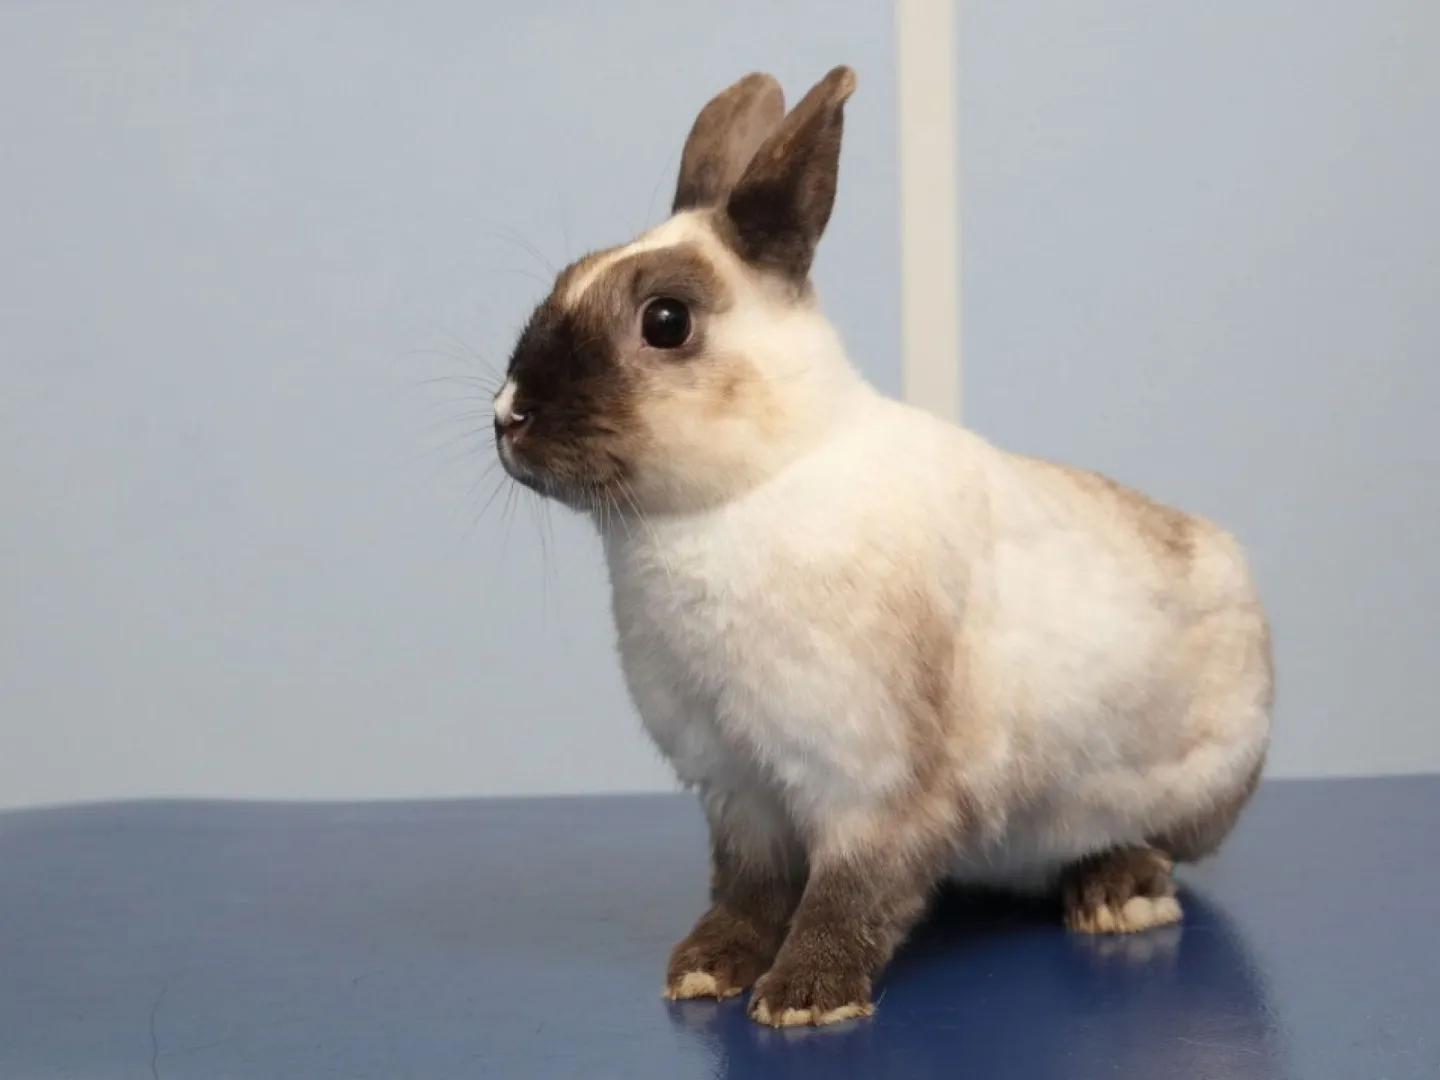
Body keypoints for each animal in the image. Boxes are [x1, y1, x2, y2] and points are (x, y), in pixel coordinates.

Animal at [491, 65, 1273, 1027]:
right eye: (563, 279)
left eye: (666, 320)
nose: (508, 414)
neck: (745, 491)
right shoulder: (738, 791)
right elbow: (747, 891)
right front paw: (706, 969)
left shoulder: (873, 779)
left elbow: (851, 891)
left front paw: (806, 997)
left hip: (1197, 781)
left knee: (1157, 848)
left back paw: (1115, 892)